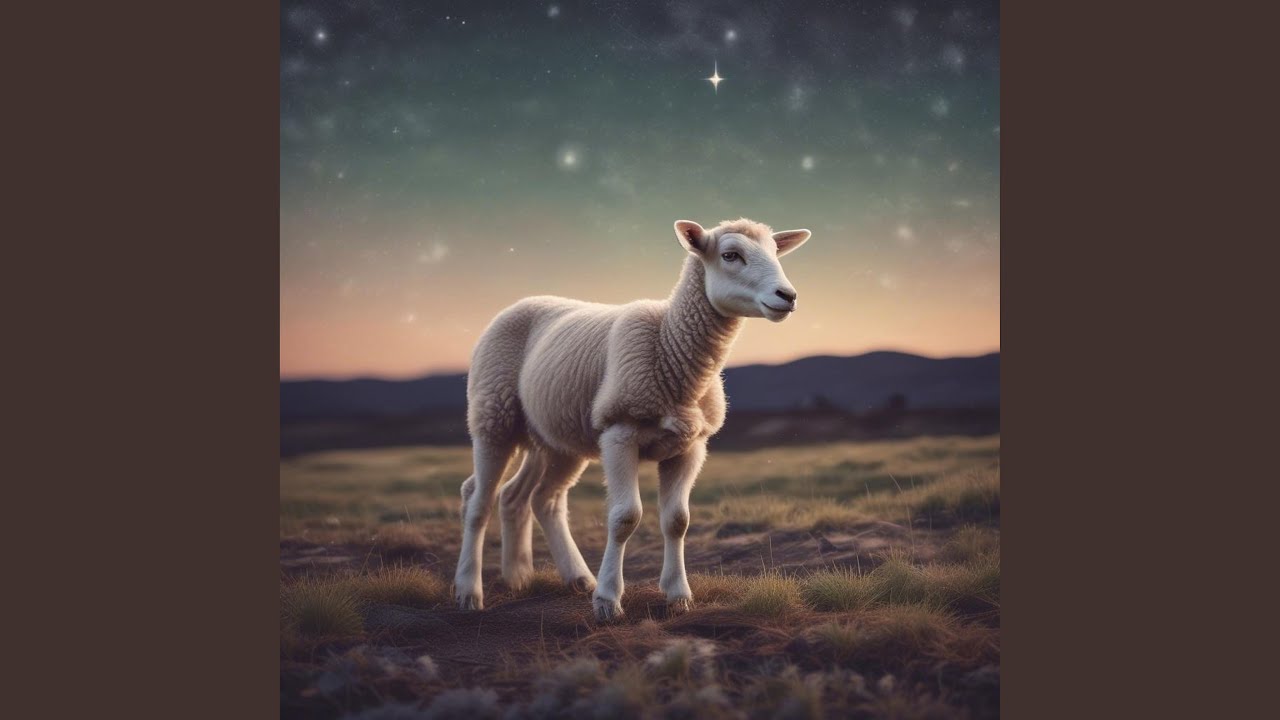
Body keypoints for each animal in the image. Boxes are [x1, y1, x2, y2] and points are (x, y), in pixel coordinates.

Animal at [454, 217, 812, 621]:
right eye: (730, 255)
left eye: (775, 251)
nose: (788, 296)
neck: (670, 346)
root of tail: (524, 301)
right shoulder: (619, 433)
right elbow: (625, 517)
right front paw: (609, 600)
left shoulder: (690, 446)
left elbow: (677, 520)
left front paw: (678, 595)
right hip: (493, 414)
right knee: (479, 499)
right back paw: (469, 592)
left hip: (555, 436)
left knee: (534, 498)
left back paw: (541, 577)